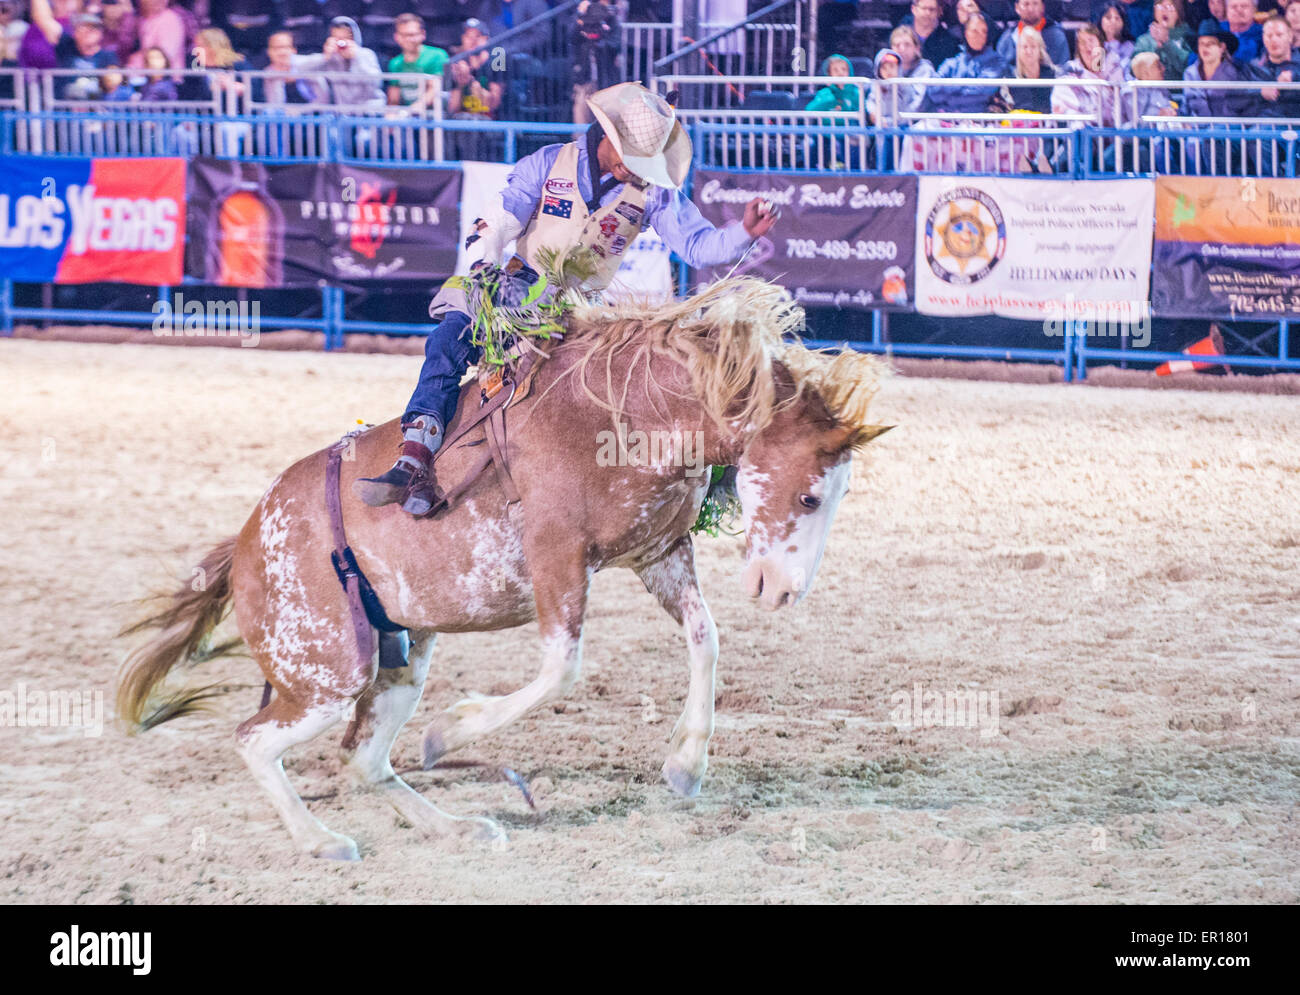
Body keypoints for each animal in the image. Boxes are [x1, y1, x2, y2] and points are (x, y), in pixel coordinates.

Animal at [117, 277, 891, 860]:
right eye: (810, 495)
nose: (783, 590)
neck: (625, 413)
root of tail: (247, 543)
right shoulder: (558, 558)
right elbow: (560, 670)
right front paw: (450, 732)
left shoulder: (657, 554)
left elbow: (706, 640)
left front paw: (685, 763)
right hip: (328, 673)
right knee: (255, 741)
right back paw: (321, 839)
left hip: (399, 658)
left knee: (362, 758)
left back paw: (457, 827)